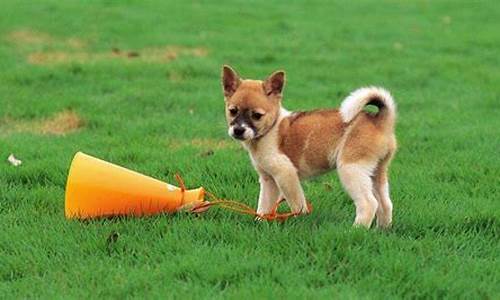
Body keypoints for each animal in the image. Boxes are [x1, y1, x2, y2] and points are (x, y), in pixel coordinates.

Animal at [223, 63, 398, 227]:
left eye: (257, 115)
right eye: (233, 111)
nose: (238, 130)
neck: (270, 129)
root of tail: (380, 121)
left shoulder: (285, 174)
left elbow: (297, 204)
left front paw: (298, 221)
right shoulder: (268, 180)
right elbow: (264, 206)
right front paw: (260, 222)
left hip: (352, 169)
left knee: (369, 203)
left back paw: (356, 229)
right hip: (377, 172)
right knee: (385, 204)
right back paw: (382, 229)